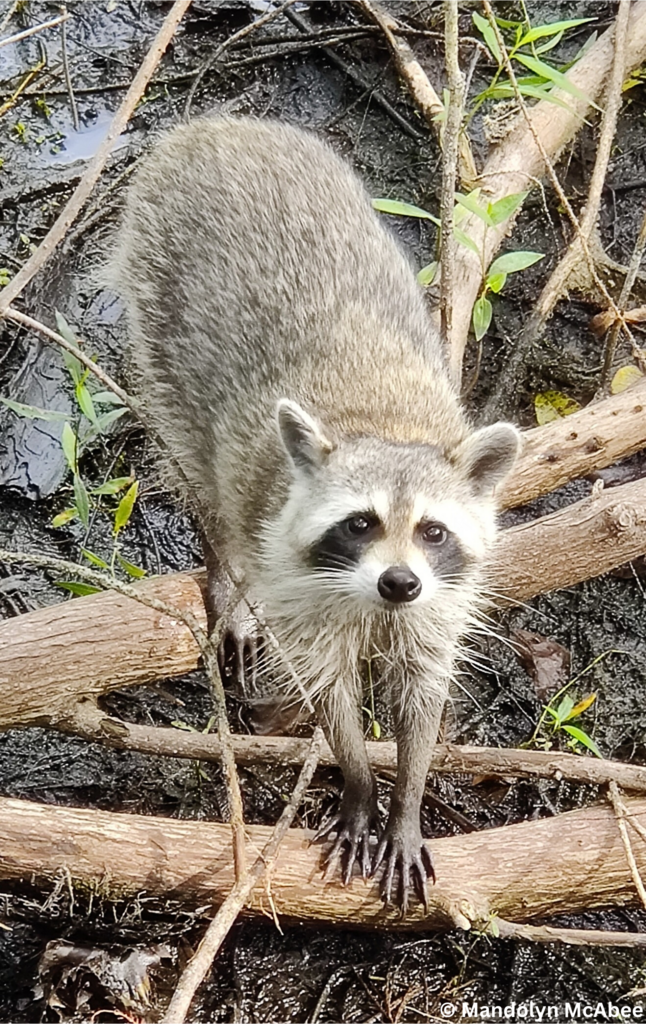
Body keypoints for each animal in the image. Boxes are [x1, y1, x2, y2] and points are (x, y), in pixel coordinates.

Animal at [113, 117, 520, 911]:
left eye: (432, 531)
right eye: (360, 523)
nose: (399, 583)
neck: (385, 429)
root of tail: (215, 126)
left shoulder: (440, 602)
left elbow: (420, 691)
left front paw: (407, 799)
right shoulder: (302, 589)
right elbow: (330, 691)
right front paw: (361, 784)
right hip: (154, 310)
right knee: (201, 475)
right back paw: (227, 576)